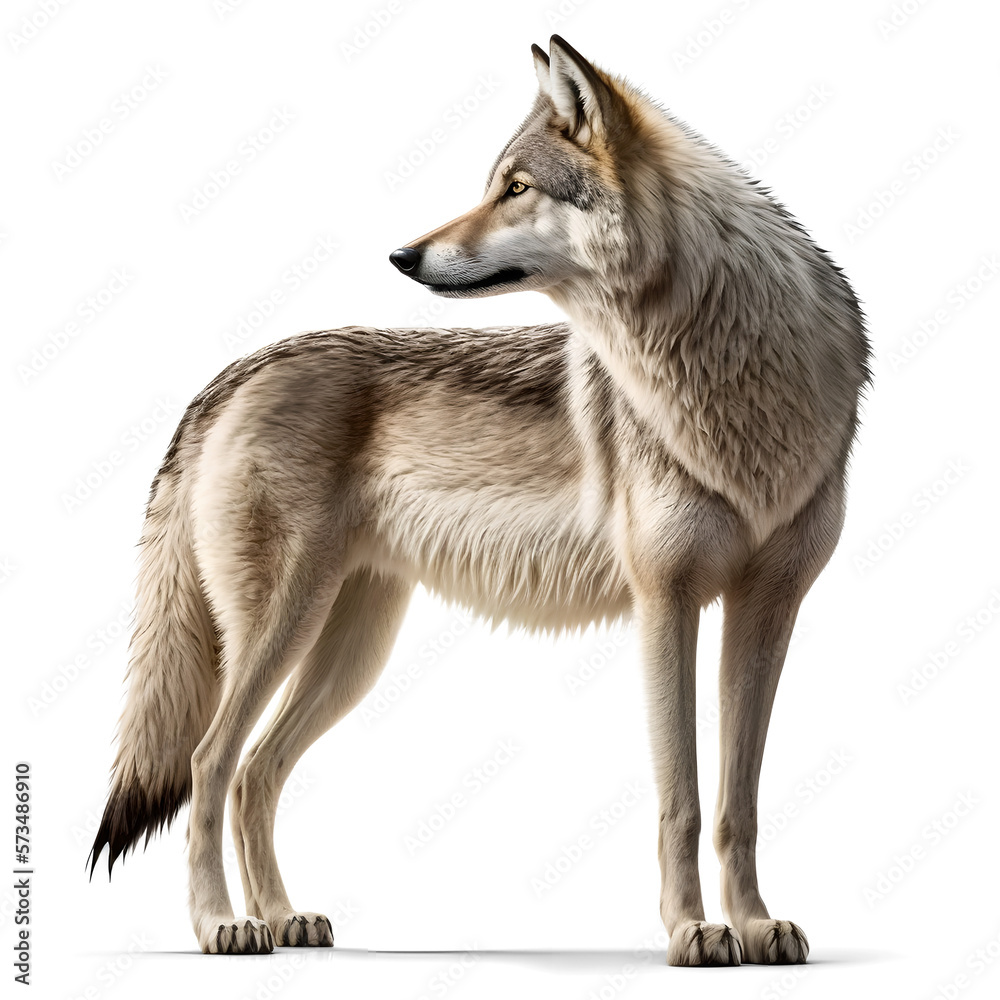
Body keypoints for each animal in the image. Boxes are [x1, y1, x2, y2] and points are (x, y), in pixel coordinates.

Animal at [89, 36, 870, 965]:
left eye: (516, 188)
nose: (402, 255)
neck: (724, 379)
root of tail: (235, 370)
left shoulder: (767, 606)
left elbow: (737, 803)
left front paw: (752, 924)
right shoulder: (666, 599)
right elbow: (680, 798)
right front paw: (691, 930)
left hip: (347, 650)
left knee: (255, 770)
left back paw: (285, 918)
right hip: (284, 630)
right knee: (211, 763)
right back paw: (222, 925)